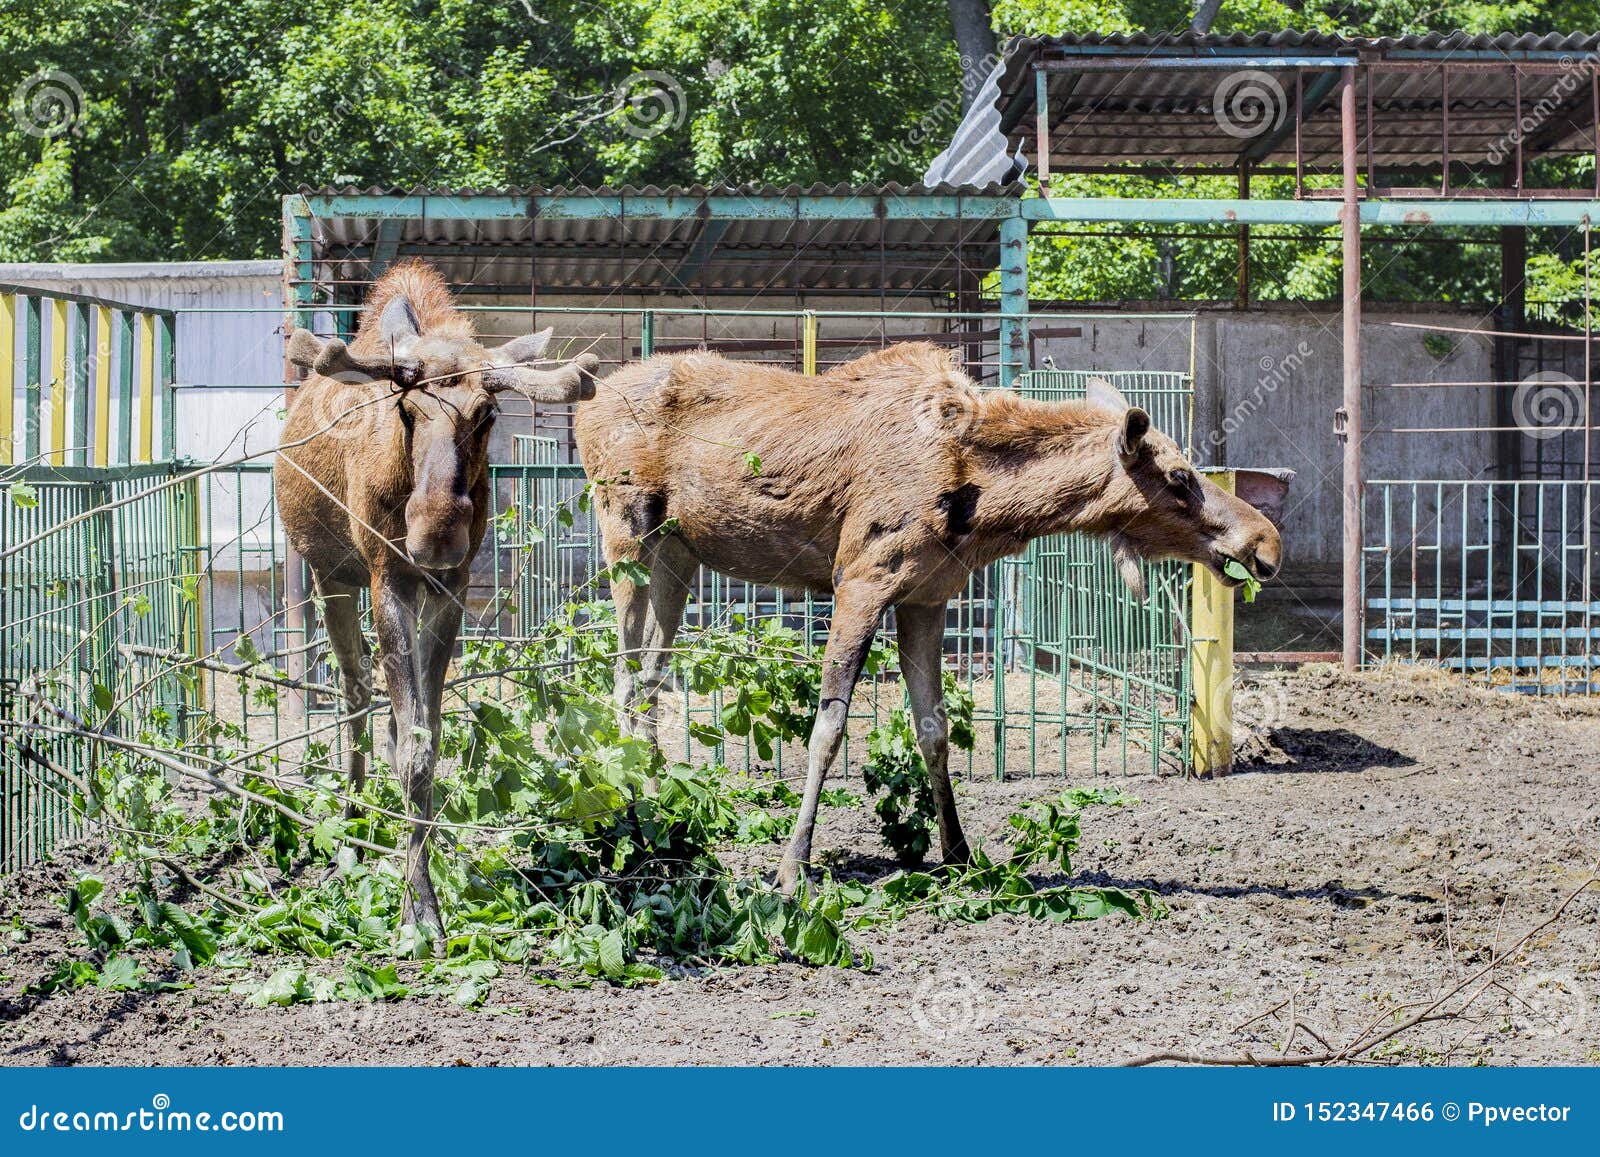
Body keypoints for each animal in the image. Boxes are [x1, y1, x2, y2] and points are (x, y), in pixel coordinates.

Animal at [275, 260, 598, 942]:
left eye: (487, 413)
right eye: (407, 408)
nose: (436, 530)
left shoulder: (450, 590)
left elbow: (429, 737)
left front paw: (428, 872)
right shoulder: (386, 578)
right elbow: (412, 749)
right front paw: (417, 908)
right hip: (330, 575)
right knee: (353, 693)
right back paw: (351, 825)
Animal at [574, 342, 1281, 895]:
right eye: (1179, 475)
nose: (1265, 544)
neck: (987, 506)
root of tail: (584, 406)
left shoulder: (926, 596)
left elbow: (934, 729)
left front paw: (959, 854)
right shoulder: (862, 579)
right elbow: (829, 727)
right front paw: (792, 866)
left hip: (678, 556)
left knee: (647, 682)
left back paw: (659, 809)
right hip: (627, 539)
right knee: (622, 681)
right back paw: (629, 818)